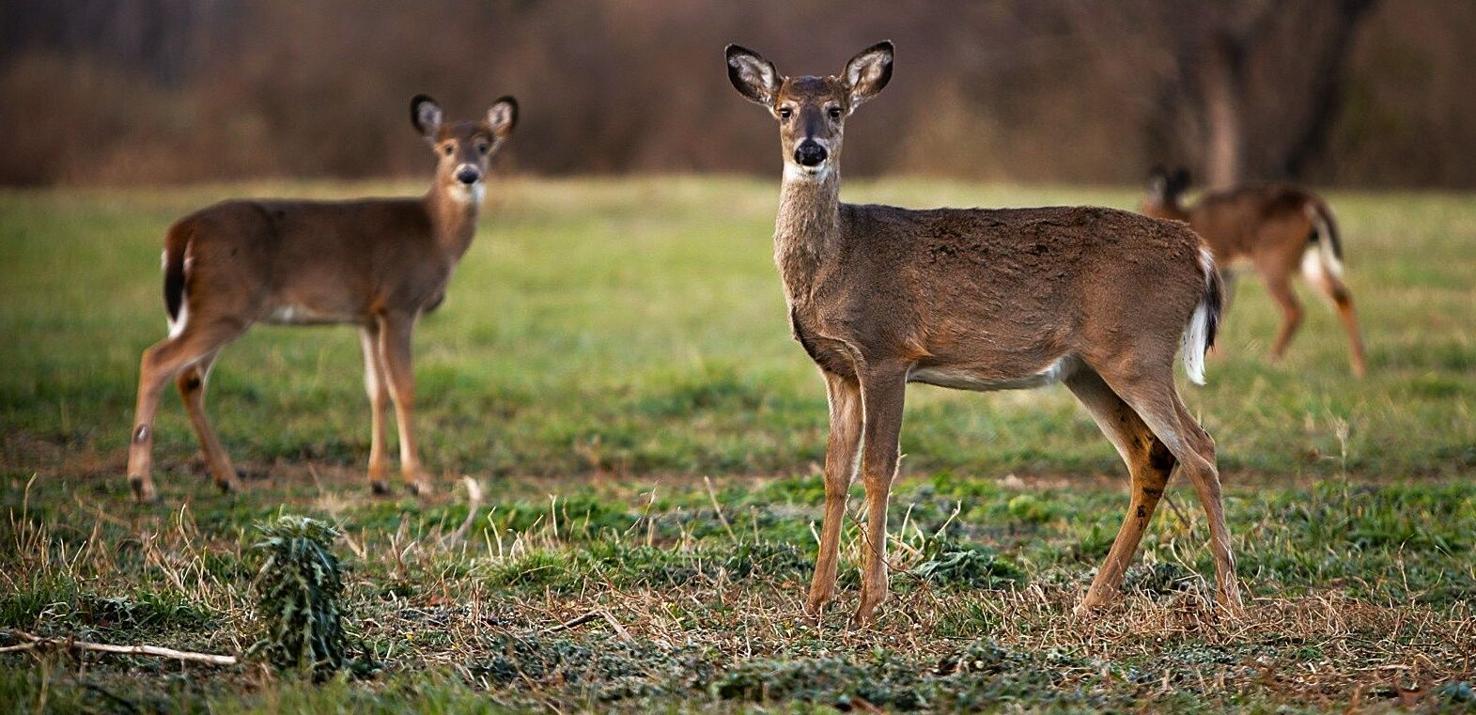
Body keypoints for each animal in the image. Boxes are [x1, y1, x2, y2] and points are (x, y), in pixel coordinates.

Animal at [124, 94, 518, 503]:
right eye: (447, 148)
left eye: (485, 146)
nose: (467, 174)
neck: (435, 234)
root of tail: (181, 230)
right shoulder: (399, 302)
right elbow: (404, 388)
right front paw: (417, 479)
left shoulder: (368, 316)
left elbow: (377, 390)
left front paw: (378, 479)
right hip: (226, 303)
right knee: (157, 360)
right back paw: (143, 484)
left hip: (204, 308)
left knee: (189, 378)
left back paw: (226, 478)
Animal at [726, 41, 1241, 626]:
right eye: (784, 110)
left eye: (836, 110)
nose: (810, 151)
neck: (836, 260)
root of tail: (1200, 254)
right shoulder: (838, 370)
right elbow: (836, 472)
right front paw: (815, 601)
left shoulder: (886, 351)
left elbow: (879, 468)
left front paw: (870, 603)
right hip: (1090, 368)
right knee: (1151, 455)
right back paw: (1092, 599)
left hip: (1138, 350)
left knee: (1199, 447)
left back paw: (1229, 598)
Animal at [1141, 167, 1367, 377]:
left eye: (1143, 205)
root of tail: (1312, 203)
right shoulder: (1227, 273)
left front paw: (1218, 361)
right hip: (1309, 259)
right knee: (1341, 296)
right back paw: (1358, 367)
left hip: (1273, 258)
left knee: (1294, 309)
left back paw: (1270, 360)